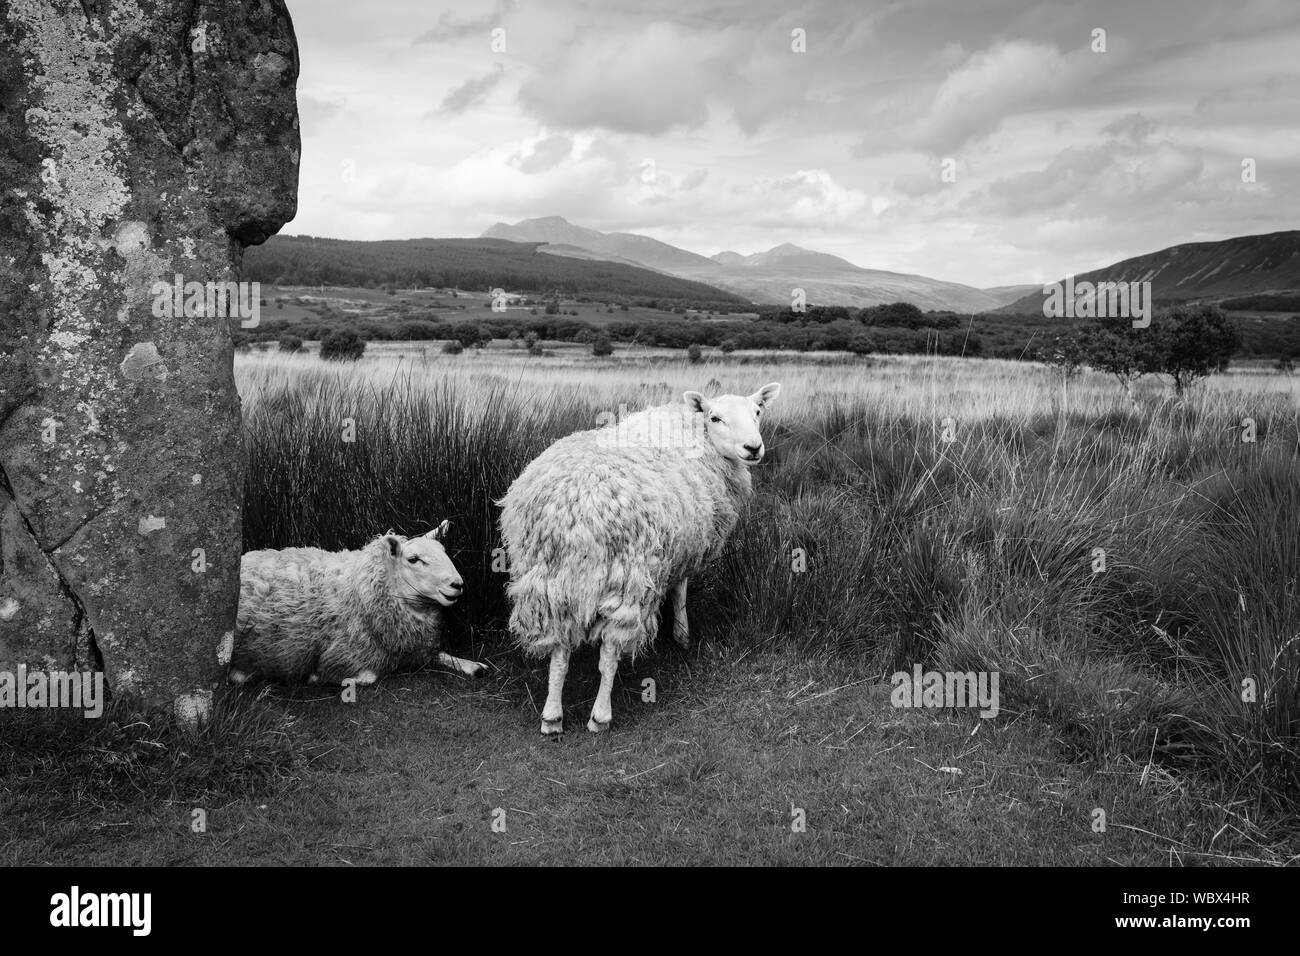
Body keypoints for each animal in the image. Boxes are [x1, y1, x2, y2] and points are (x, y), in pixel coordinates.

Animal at [229, 521, 486, 686]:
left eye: (444, 551)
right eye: (414, 559)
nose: (457, 584)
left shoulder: (414, 648)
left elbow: (443, 655)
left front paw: (473, 665)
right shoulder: (343, 655)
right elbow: (367, 677)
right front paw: (317, 677)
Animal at [499, 382, 781, 734]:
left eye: (757, 412)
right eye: (715, 418)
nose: (753, 448)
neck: (696, 433)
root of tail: (578, 512)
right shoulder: (684, 550)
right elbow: (680, 591)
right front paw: (682, 636)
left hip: (548, 583)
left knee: (559, 653)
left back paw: (552, 716)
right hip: (626, 580)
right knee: (609, 655)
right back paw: (600, 716)